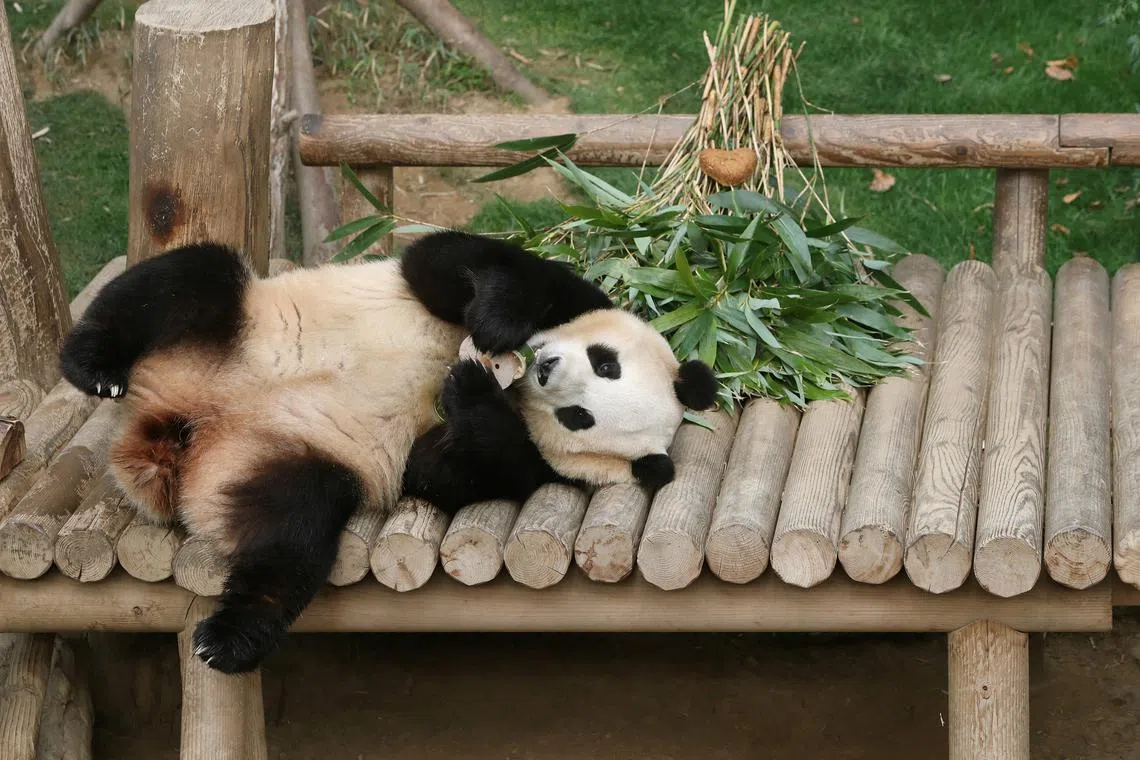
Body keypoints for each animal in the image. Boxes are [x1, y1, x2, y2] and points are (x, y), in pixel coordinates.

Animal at [59, 231, 718, 674]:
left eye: (580, 417)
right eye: (606, 363)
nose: (547, 370)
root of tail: (172, 423)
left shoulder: (524, 463)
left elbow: (445, 470)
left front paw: (470, 389)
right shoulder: (558, 291)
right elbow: (457, 263)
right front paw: (496, 327)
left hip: (283, 453)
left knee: (293, 529)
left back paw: (231, 637)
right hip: (227, 330)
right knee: (188, 281)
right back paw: (94, 365)